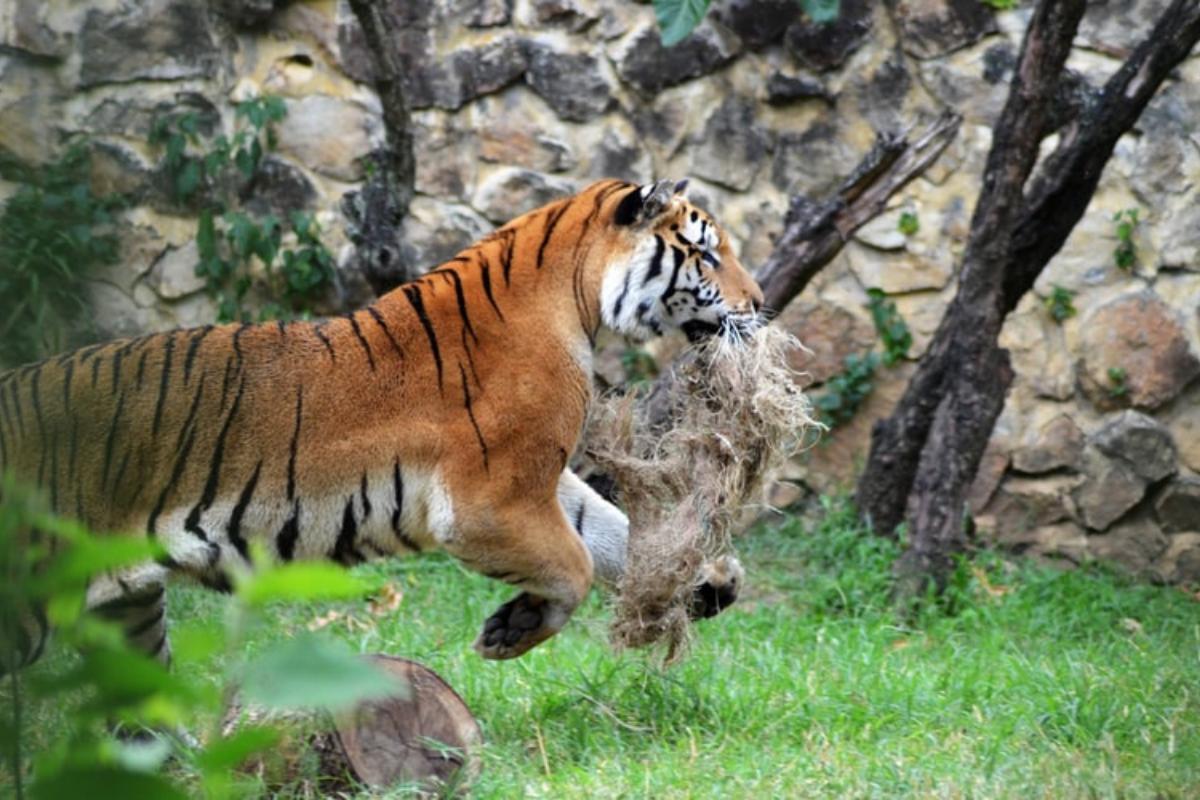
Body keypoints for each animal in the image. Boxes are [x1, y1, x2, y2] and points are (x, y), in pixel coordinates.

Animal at [0, 178, 764, 669]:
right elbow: (575, 564)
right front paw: (511, 632)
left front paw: (708, 578)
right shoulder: (488, 501)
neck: (575, 298)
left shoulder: (539, 482)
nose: (761, 303)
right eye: (706, 253)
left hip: (125, 607)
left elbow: (610, 532)